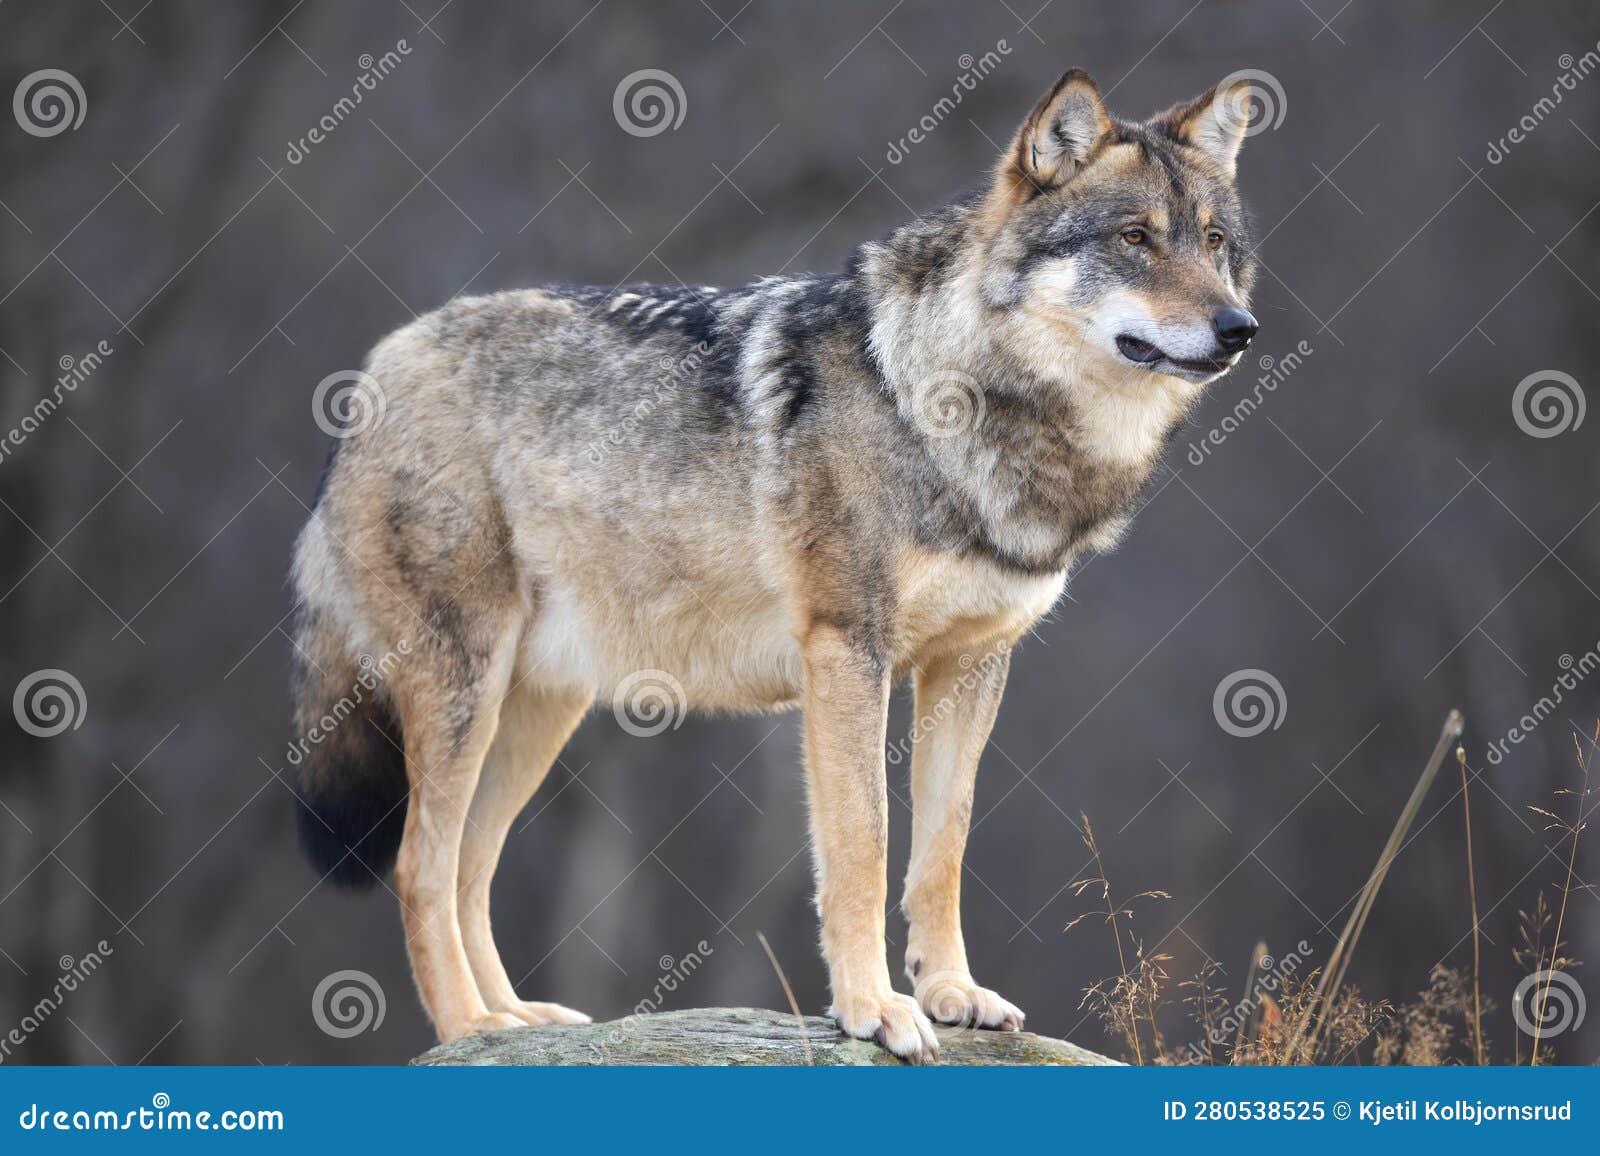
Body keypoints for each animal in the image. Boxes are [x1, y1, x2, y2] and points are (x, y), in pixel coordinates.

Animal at [290, 69, 1259, 1063]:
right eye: (1135, 238)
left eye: (1215, 242)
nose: (1241, 329)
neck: (946, 400)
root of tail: (379, 363)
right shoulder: (846, 653)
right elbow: (864, 847)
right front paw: (876, 1010)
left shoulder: (972, 664)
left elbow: (941, 849)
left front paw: (953, 994)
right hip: (465, 692)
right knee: (420, 867)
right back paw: (466, 1028)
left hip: (536, 712)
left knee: (468, 871)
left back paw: (515, 1023)